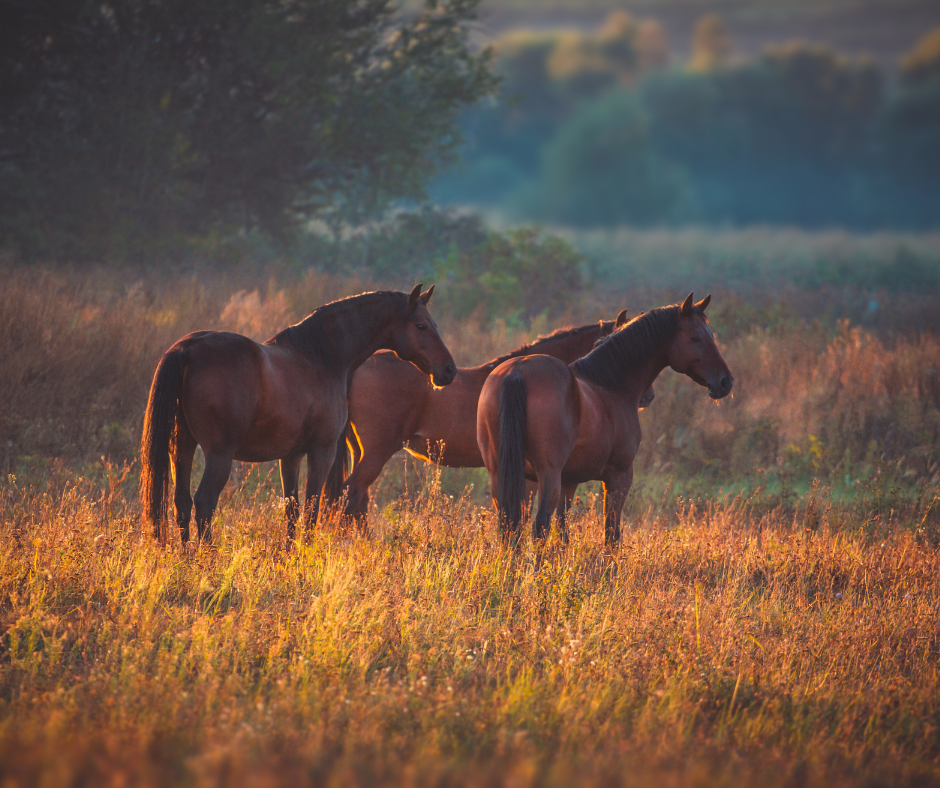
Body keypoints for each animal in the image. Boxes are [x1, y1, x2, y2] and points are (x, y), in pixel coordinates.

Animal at [139, 285, 456, 545]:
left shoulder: (290, 456)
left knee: (181, 503)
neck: (320, 357)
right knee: (204, 503)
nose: (449, 370)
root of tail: (187, 349)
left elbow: (292, 510)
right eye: (421, 326)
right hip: (219, 456)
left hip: (181, 448)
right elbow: (312, 509)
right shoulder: (322, 452)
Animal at [324, 310, 654, 523]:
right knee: (351, 494)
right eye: (603, 344)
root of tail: (358, 367)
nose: (647, 397)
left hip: (360, 451)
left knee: (357, 500)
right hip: (377, 451)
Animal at [477, 293, 733, 547]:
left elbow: (563, 531)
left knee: (510, 526)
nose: (725, 382)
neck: (610, 384)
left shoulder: (569, 480)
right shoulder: (619, 476)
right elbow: (612, 533)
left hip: (502, 474)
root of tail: (516, 373)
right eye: (695, 338)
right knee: (539, 525)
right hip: (547, 474)